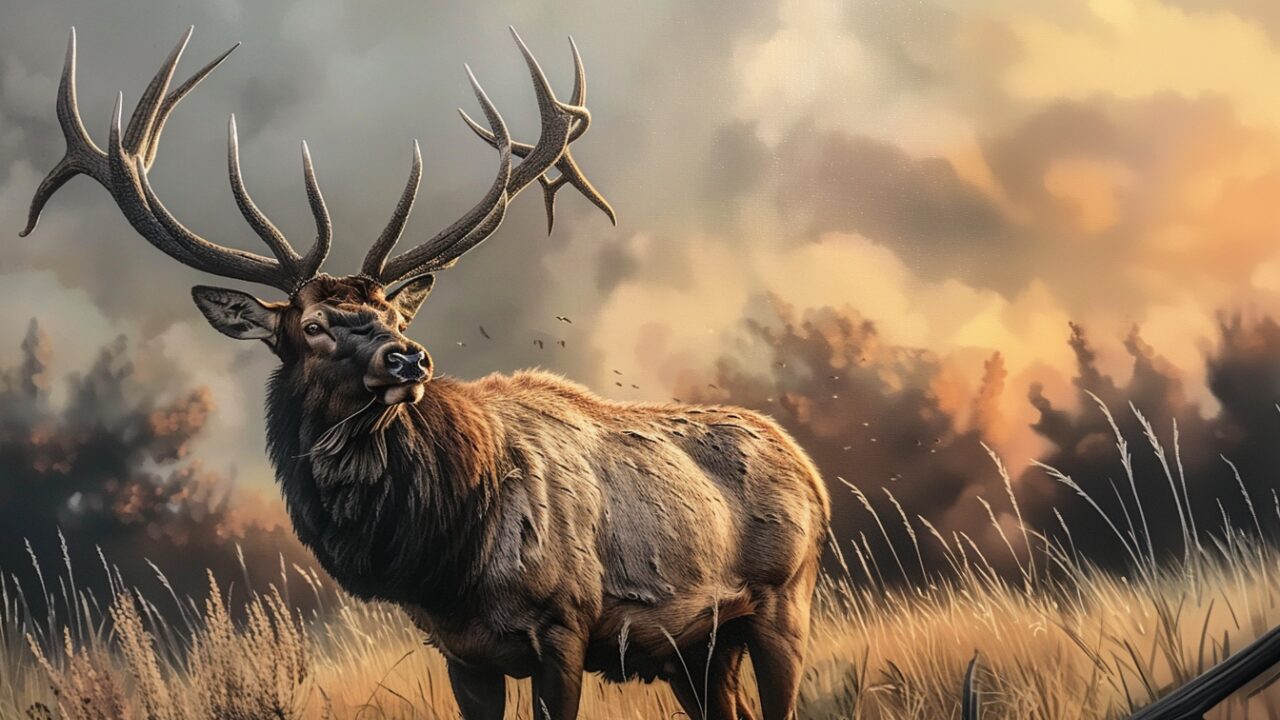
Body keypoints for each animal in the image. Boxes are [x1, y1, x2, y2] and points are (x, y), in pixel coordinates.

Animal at [19, 28, 832, 720]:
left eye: (395, 316)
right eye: (311, 326)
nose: (408, 357)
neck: (447, 558)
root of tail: (812, 473)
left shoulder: (566, 624)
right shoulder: (461, 652)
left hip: (784, 604)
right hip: (699, 651)